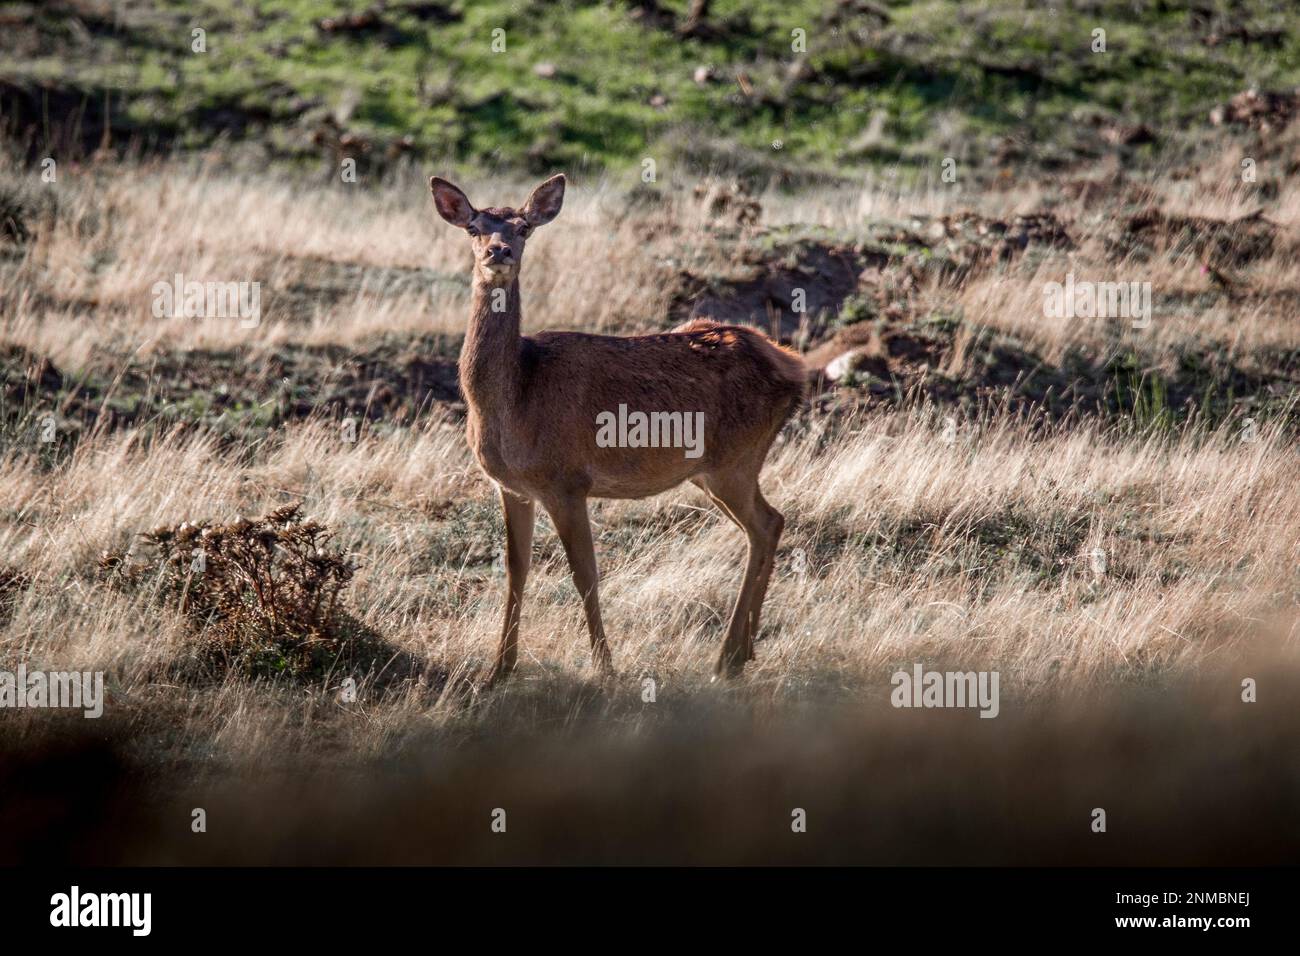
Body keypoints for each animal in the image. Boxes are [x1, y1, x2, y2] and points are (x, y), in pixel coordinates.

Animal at [429, 174, 806, 684]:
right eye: (473, 228)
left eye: (524, 228)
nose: (498, 251)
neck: (513, 399)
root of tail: (793, 367)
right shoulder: (511, 486)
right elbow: (515, 568)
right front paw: (498, 670)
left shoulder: (566, 480)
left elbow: (584, 572)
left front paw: (605, 669)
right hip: (715, 470)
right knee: (769, 523)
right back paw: (740, 653)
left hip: (735, 460)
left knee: (767, 523)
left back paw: (726, 657)